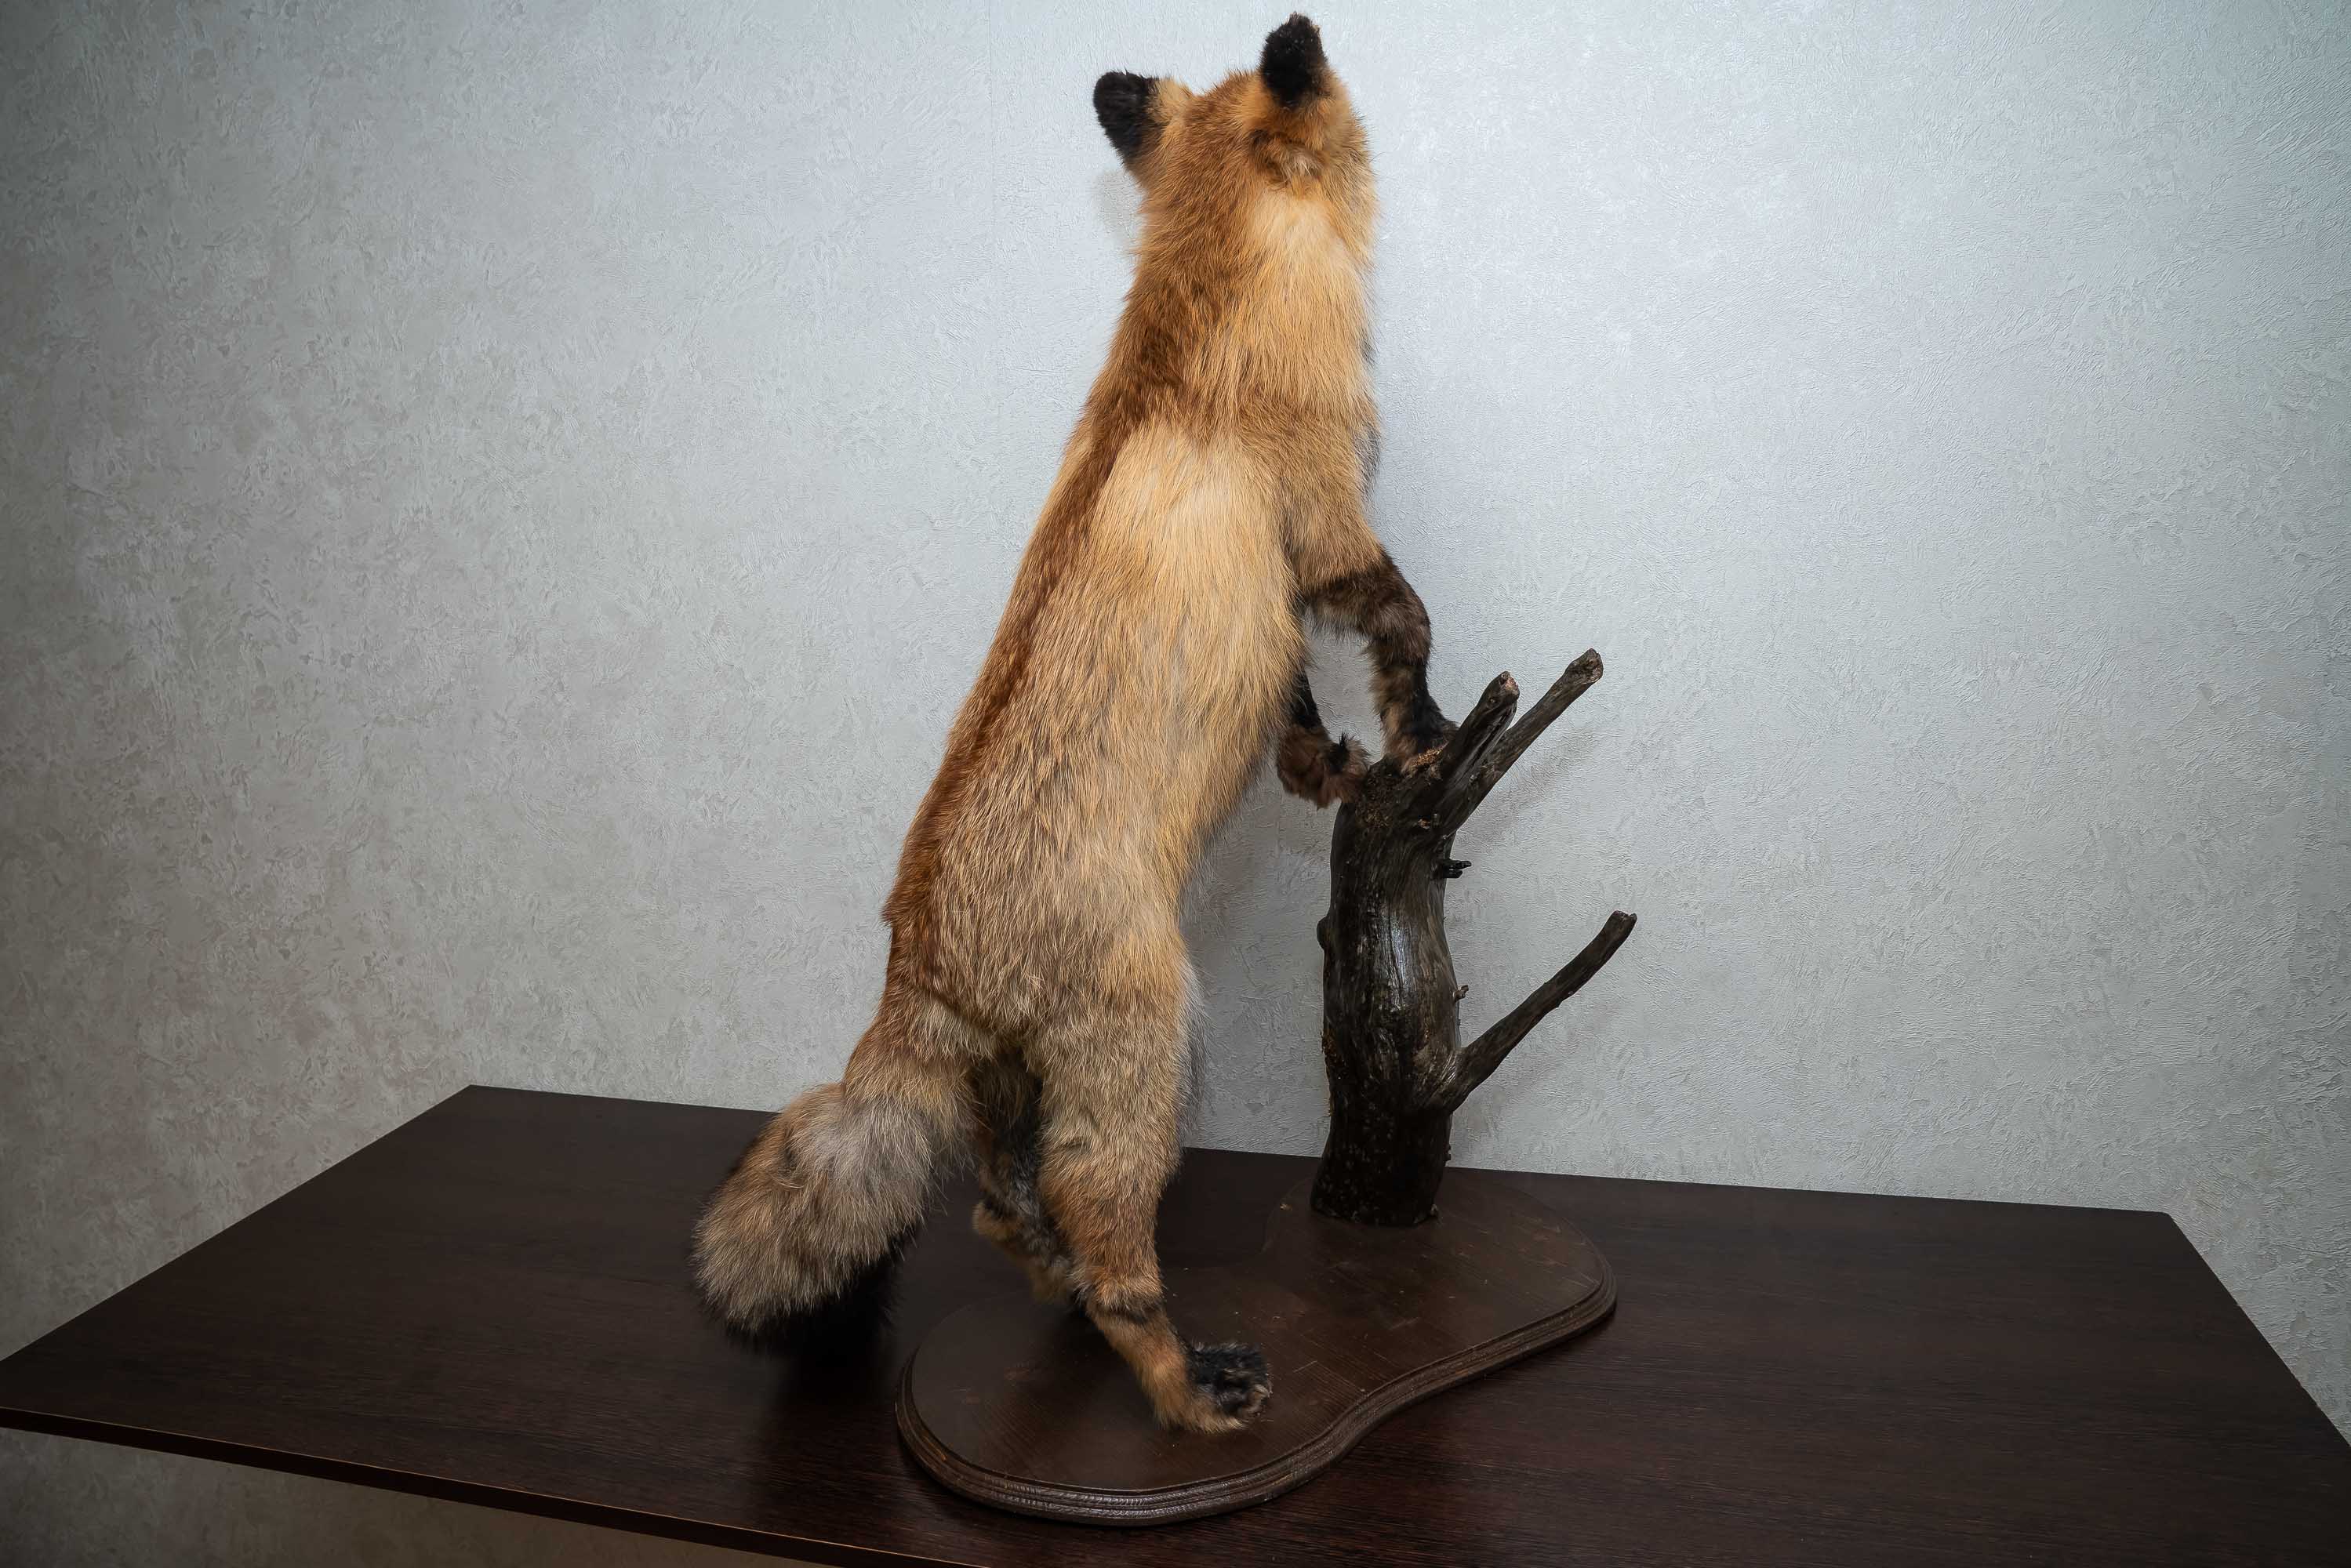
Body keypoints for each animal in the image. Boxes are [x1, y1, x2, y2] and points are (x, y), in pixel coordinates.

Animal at [692, 14, 1449, 1433]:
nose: (1314, 37)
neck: (1196, 322)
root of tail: (917, 965)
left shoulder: (1271, 610)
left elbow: (1294, 700)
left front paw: (1325, 764)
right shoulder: (1323, 523)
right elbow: (1404, 622)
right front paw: (1421, 730)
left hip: (1015, 1104)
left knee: (1002, 1217)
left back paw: (1065, 1304)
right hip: (1141, 1054)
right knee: (1106, 1245)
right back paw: (1184, 1385)